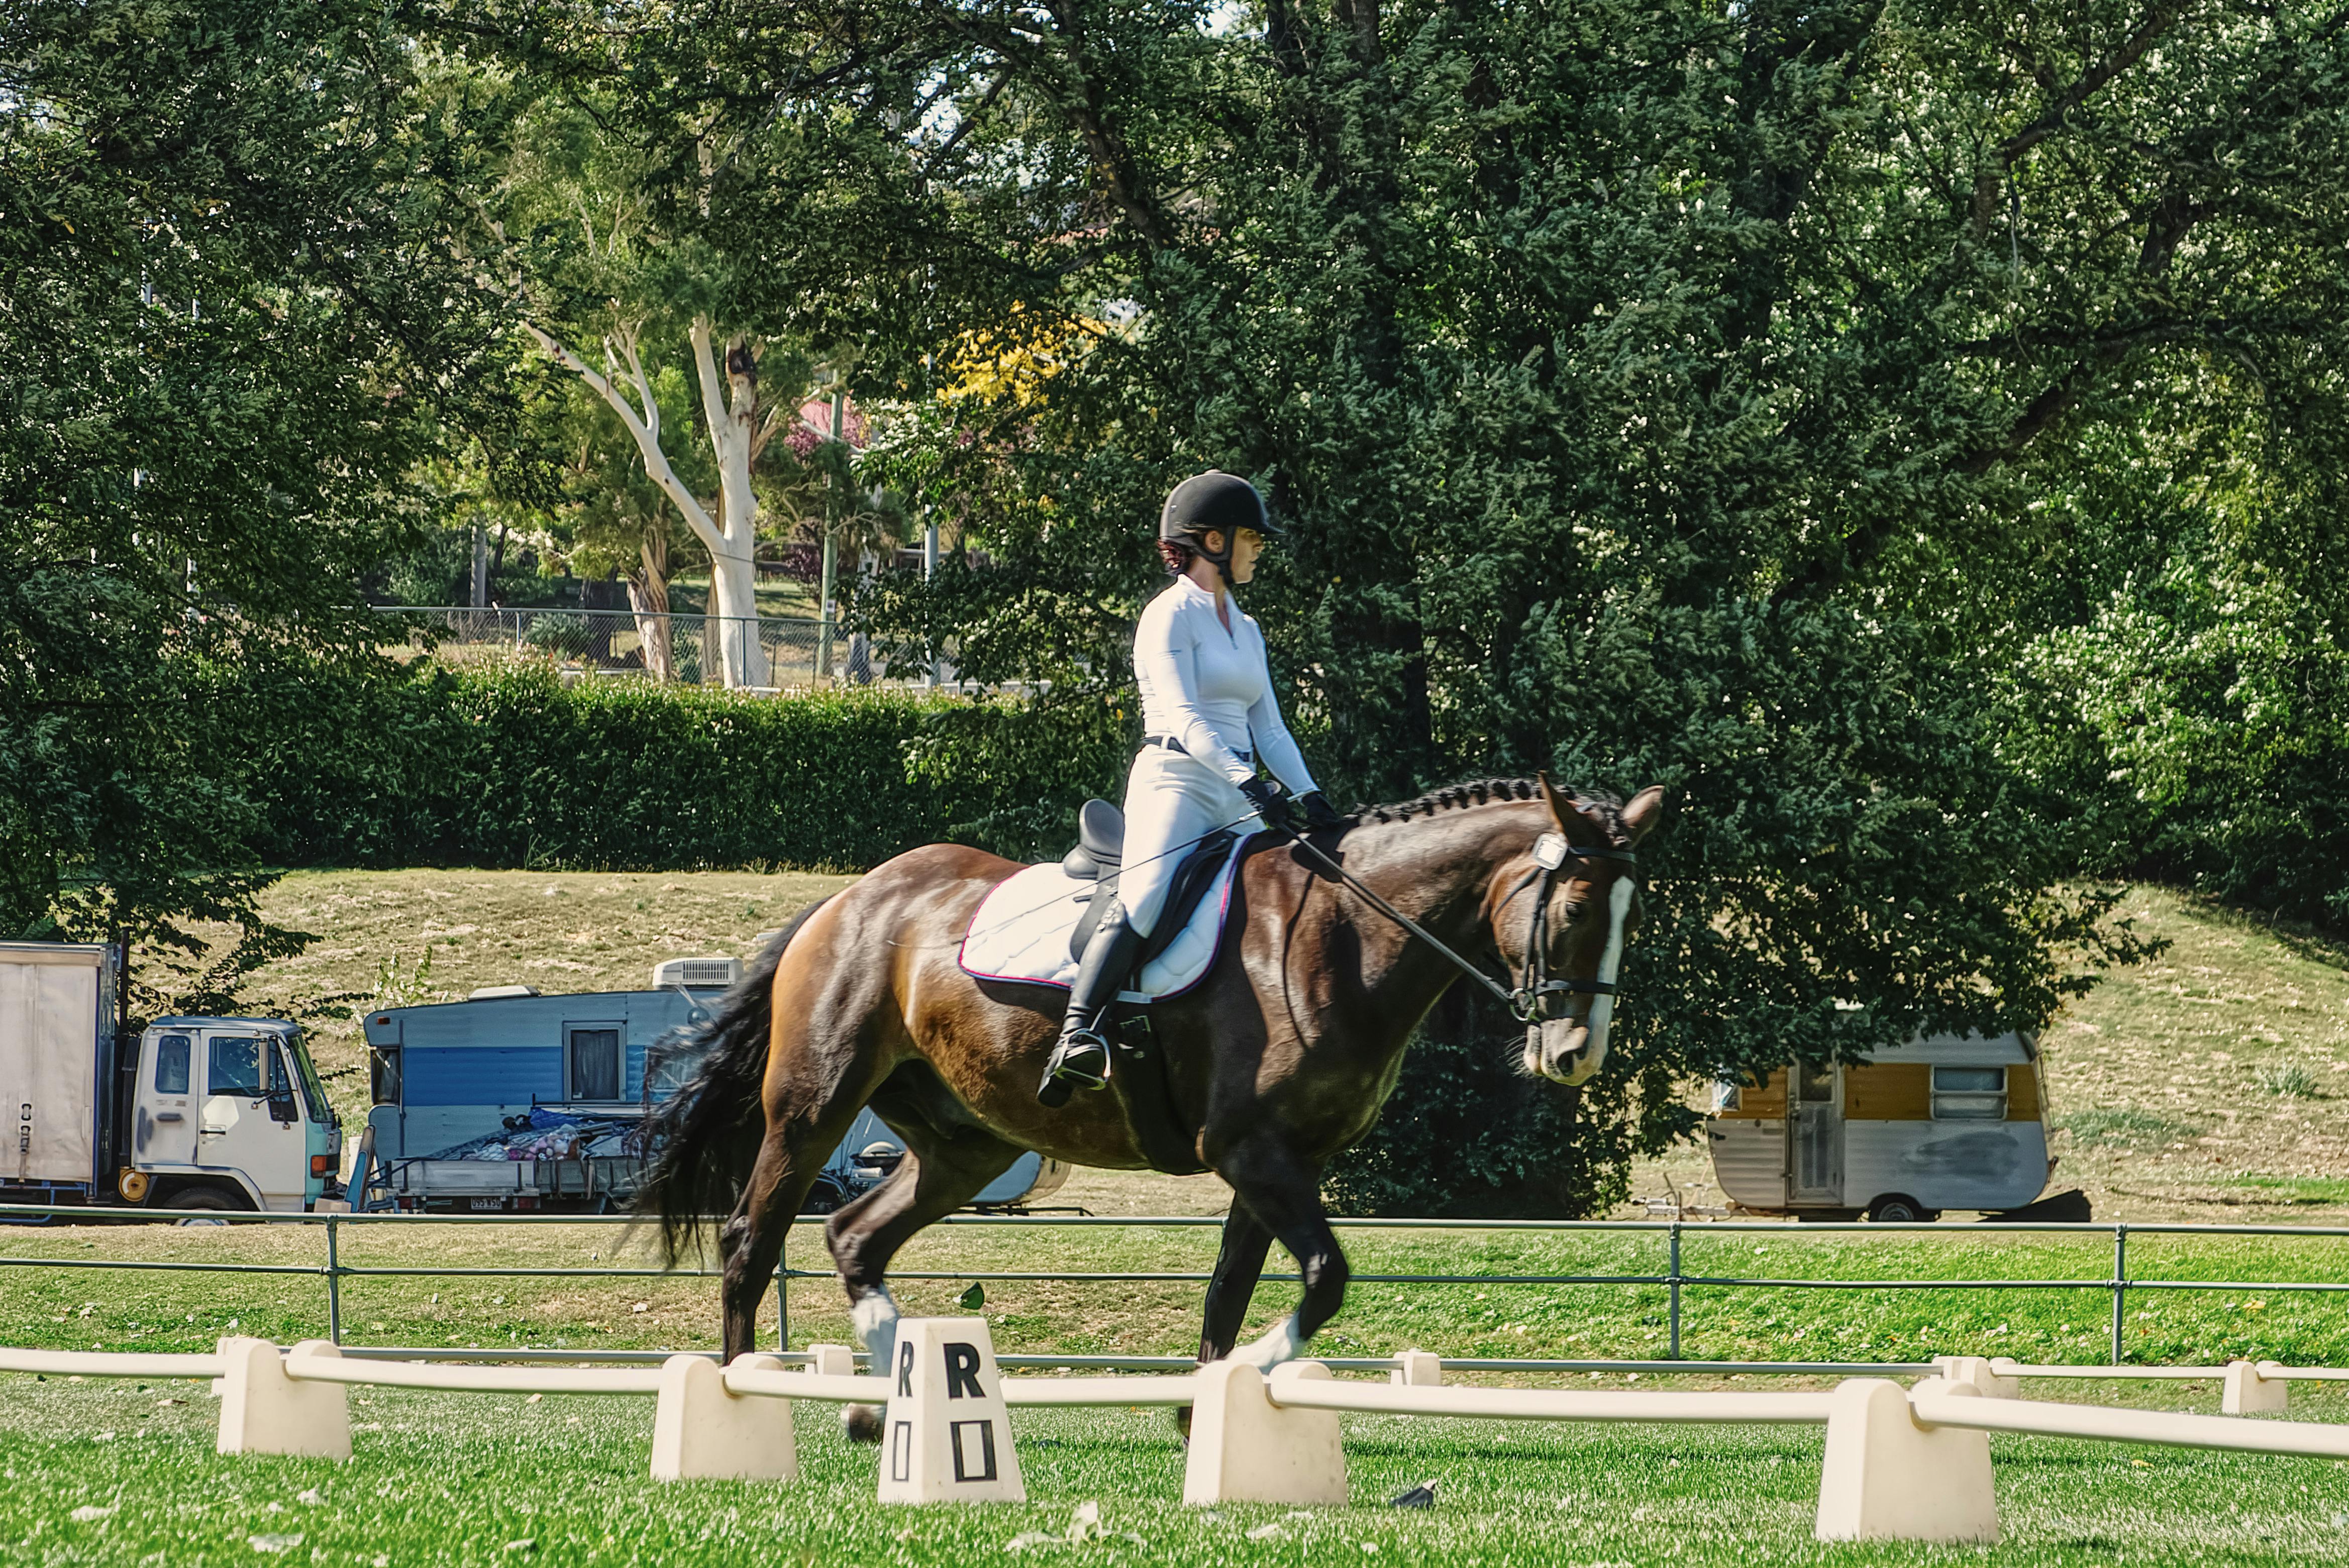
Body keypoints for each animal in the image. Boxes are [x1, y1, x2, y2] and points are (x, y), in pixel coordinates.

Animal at [637, 774, 1664, 1411]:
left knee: (855, 1236)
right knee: (751, 1240)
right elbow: (1324, 1276)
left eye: (1631, 916)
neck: (1341, 933)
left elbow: (1230, 1292)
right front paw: (1231, 1389)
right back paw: (746, 1391)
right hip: (813, 1109)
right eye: (1577, 908)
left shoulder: (1276, 1160)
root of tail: (850, 899)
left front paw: (1208, 1407)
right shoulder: (1252, 1153)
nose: (1575, 1056)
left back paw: (891, 1412)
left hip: (968, 1144)